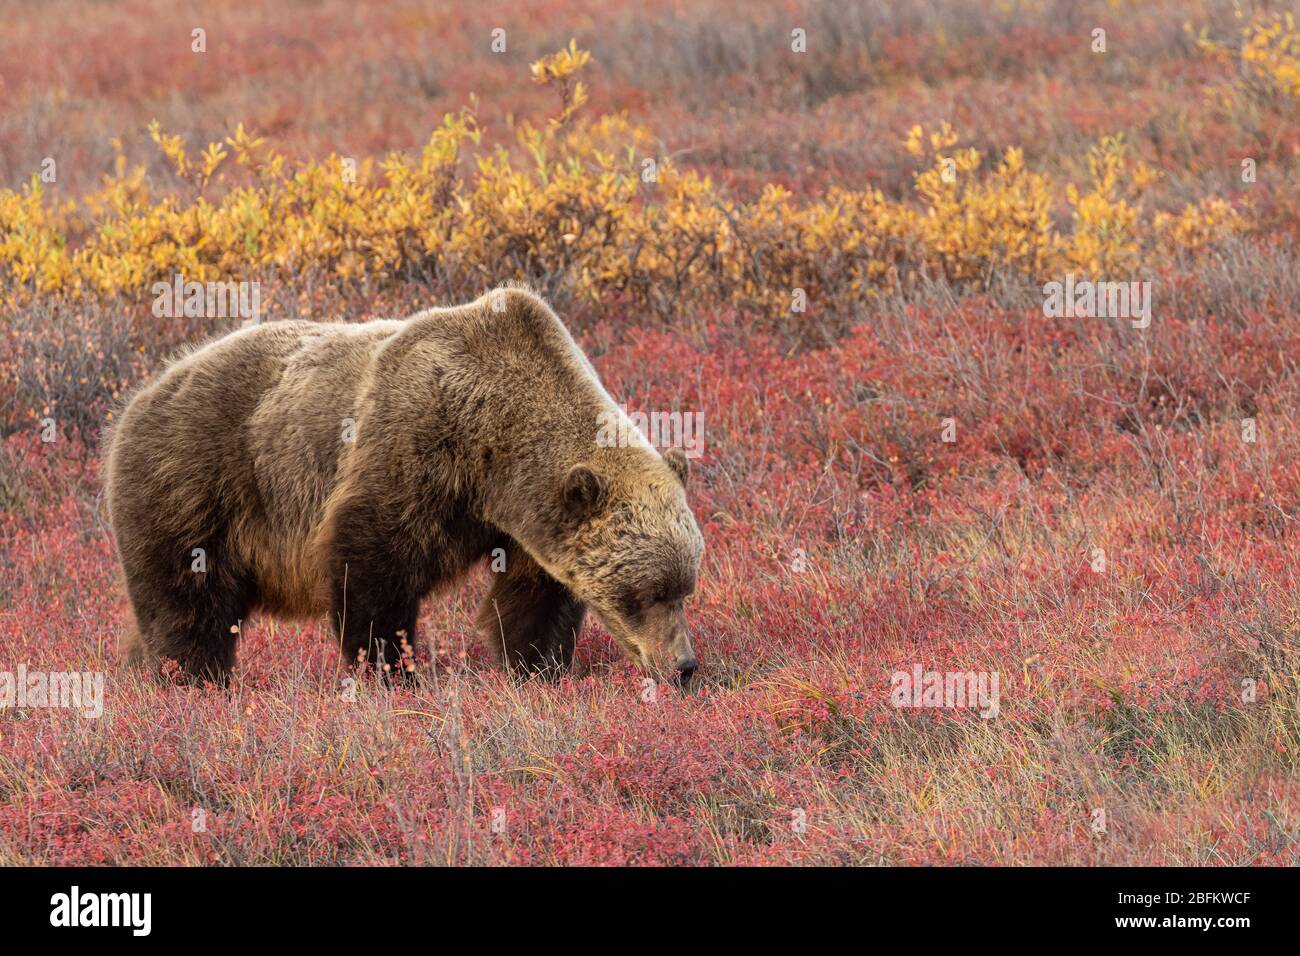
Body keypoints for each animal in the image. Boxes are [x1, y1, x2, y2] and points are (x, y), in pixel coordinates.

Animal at [103, 287, 703, 686]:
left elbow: (533, 599)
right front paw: (392, 672)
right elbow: (374, 569)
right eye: (645, 593)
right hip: (195, 483)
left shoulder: (528, 523)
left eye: (684, 587)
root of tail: (141, 394)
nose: (683, 665)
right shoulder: (412, 450)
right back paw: (193, 678)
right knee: (187, 601)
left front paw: (538, 667)